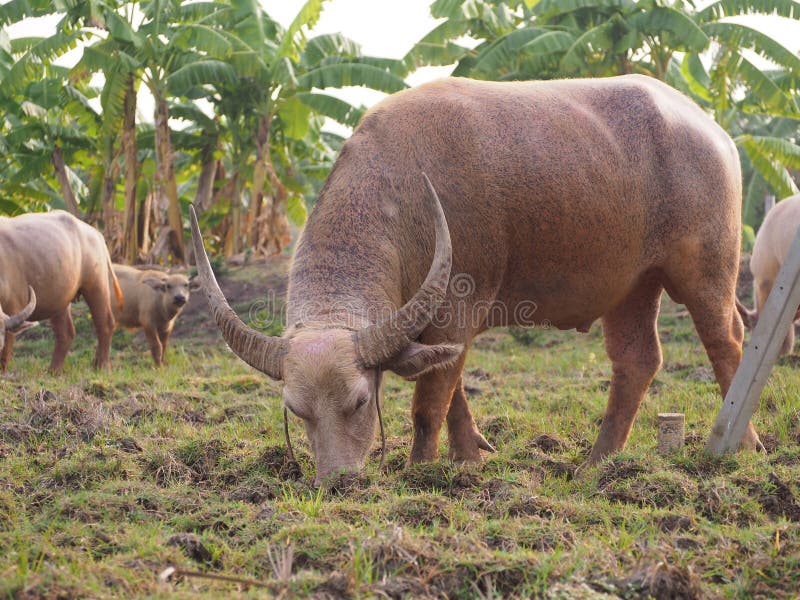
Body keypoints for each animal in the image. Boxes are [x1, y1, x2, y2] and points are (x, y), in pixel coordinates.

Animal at [0, 210, 122, 371]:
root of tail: (96, 234)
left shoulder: (13, 309)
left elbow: (5, 352)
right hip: (60, 299)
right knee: (66, 333)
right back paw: (54, 370)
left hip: (97, 284)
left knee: (105, 323)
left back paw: (102, 366)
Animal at [191, 75, 761, 484]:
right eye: (296, 411)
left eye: (359, 401)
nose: (336, 482)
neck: (405, 194)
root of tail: (711, 130)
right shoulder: (436, 325)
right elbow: (451, 389)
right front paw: (469, 457)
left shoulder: (456, 308)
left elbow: (427, 406)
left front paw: (420, 470)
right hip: (631, 284)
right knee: (637, 360)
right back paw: (596, 464)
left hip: (706, 270)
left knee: (726, 342)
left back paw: (742, 444)